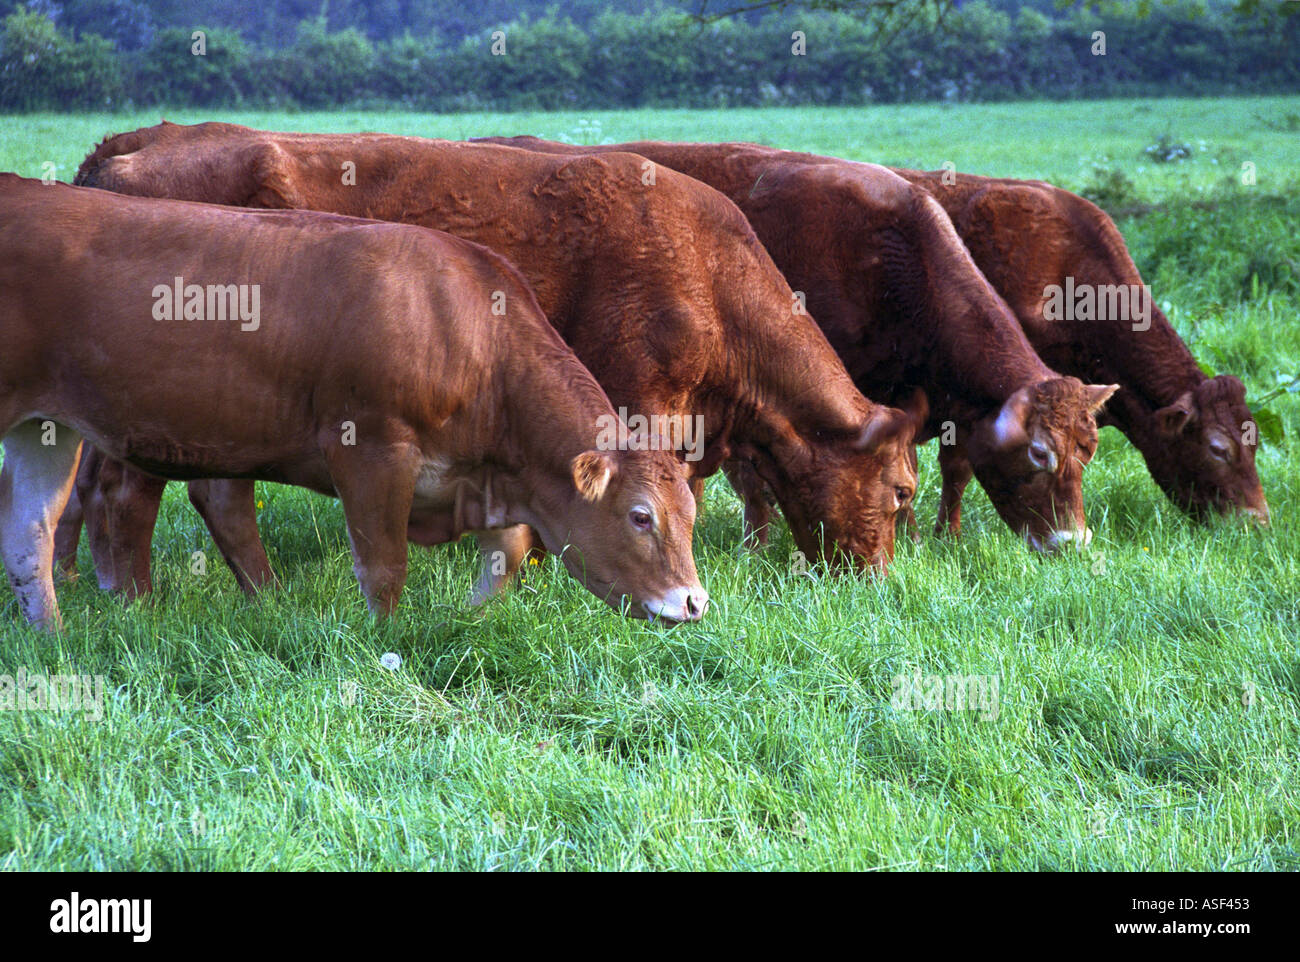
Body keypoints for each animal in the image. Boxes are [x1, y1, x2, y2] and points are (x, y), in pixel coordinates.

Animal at [0, 174, 706, 628]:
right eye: (641, 516)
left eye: (690, 514)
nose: (694, 602)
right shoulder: (372, 450)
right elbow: (384, 566)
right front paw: (387, 641)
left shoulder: (491, 476)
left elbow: (505, 556)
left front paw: (471, 619)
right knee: (123, 504)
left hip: (51, 428)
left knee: (35, 529)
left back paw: (54, 638)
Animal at [59, 122, 922, 596]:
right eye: (902, 490)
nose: (880, 583)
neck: (708, 272)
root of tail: (125, 150)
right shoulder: (633, 403)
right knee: (142, 497)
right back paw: (142, 599)